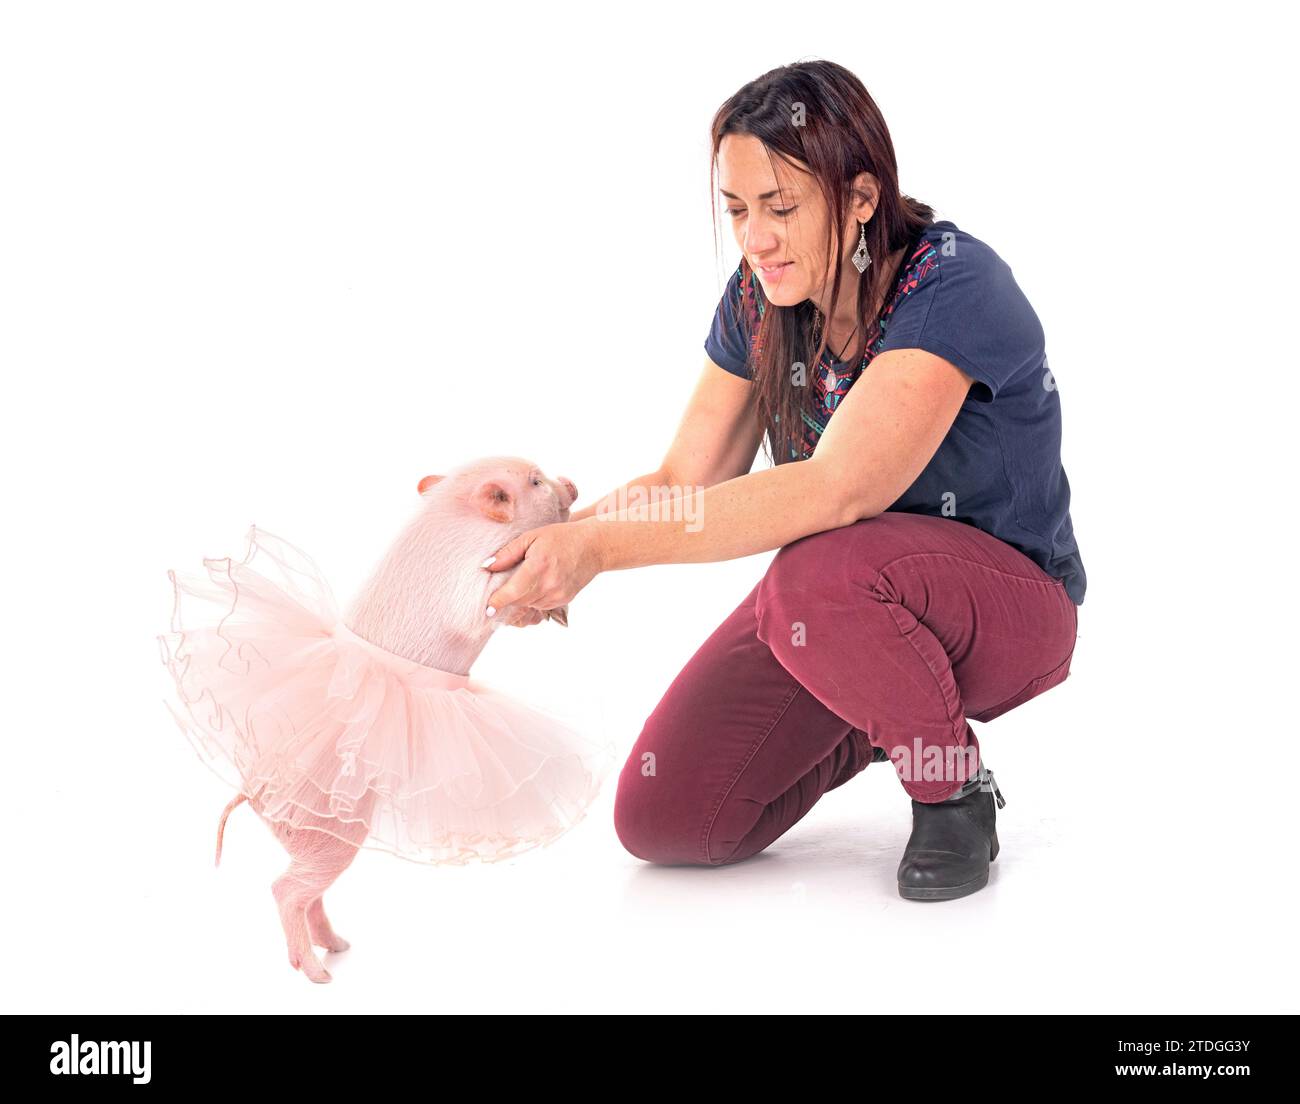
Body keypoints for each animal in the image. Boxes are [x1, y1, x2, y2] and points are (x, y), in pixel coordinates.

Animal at [214, 455, 579, 983]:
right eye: (534, 482)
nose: (570, 481)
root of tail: (252, 790)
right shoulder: (468, 591)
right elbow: (491, 603)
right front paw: (547, 609)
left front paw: (559, 616)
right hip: (327, 834)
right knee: (286, 890)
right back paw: (319, 975)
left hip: (320, 835)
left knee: (310, 892)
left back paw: (340, 947)